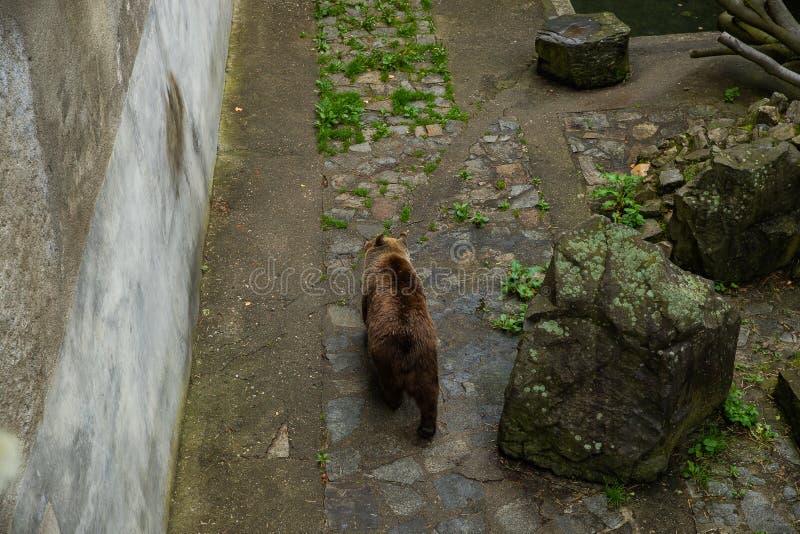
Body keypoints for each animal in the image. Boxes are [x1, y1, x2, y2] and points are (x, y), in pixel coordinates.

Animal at [361, 232, 439, 439]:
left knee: (390, 385)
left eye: (370, 241)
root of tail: (407, 345)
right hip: (426, 358)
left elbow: (364, 312)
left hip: (386, 355)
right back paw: (427, 428)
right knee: (430, 395)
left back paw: (390, 401)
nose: (365, 242)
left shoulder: (368, 289)